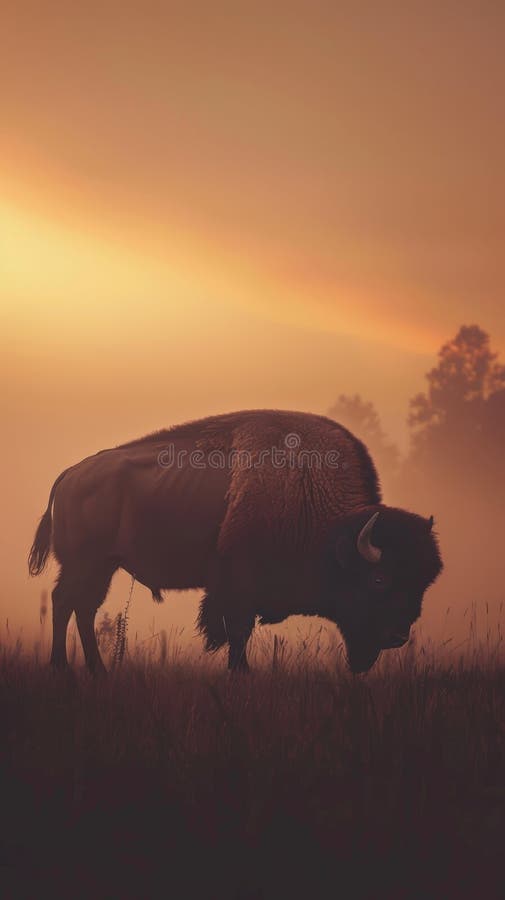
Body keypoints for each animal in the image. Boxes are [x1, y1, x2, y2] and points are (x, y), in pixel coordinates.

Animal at [29, 409, 442, 674]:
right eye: (379, 579)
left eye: (423, 583)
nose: (397, 636)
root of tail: (72, 474)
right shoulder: (239, 587)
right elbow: (238, 632)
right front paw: (242, 672)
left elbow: (236, 632)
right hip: (85, 564)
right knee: (65, 603)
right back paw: (62, 668)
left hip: (104, 566)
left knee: (82, 608)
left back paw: (97, 671)